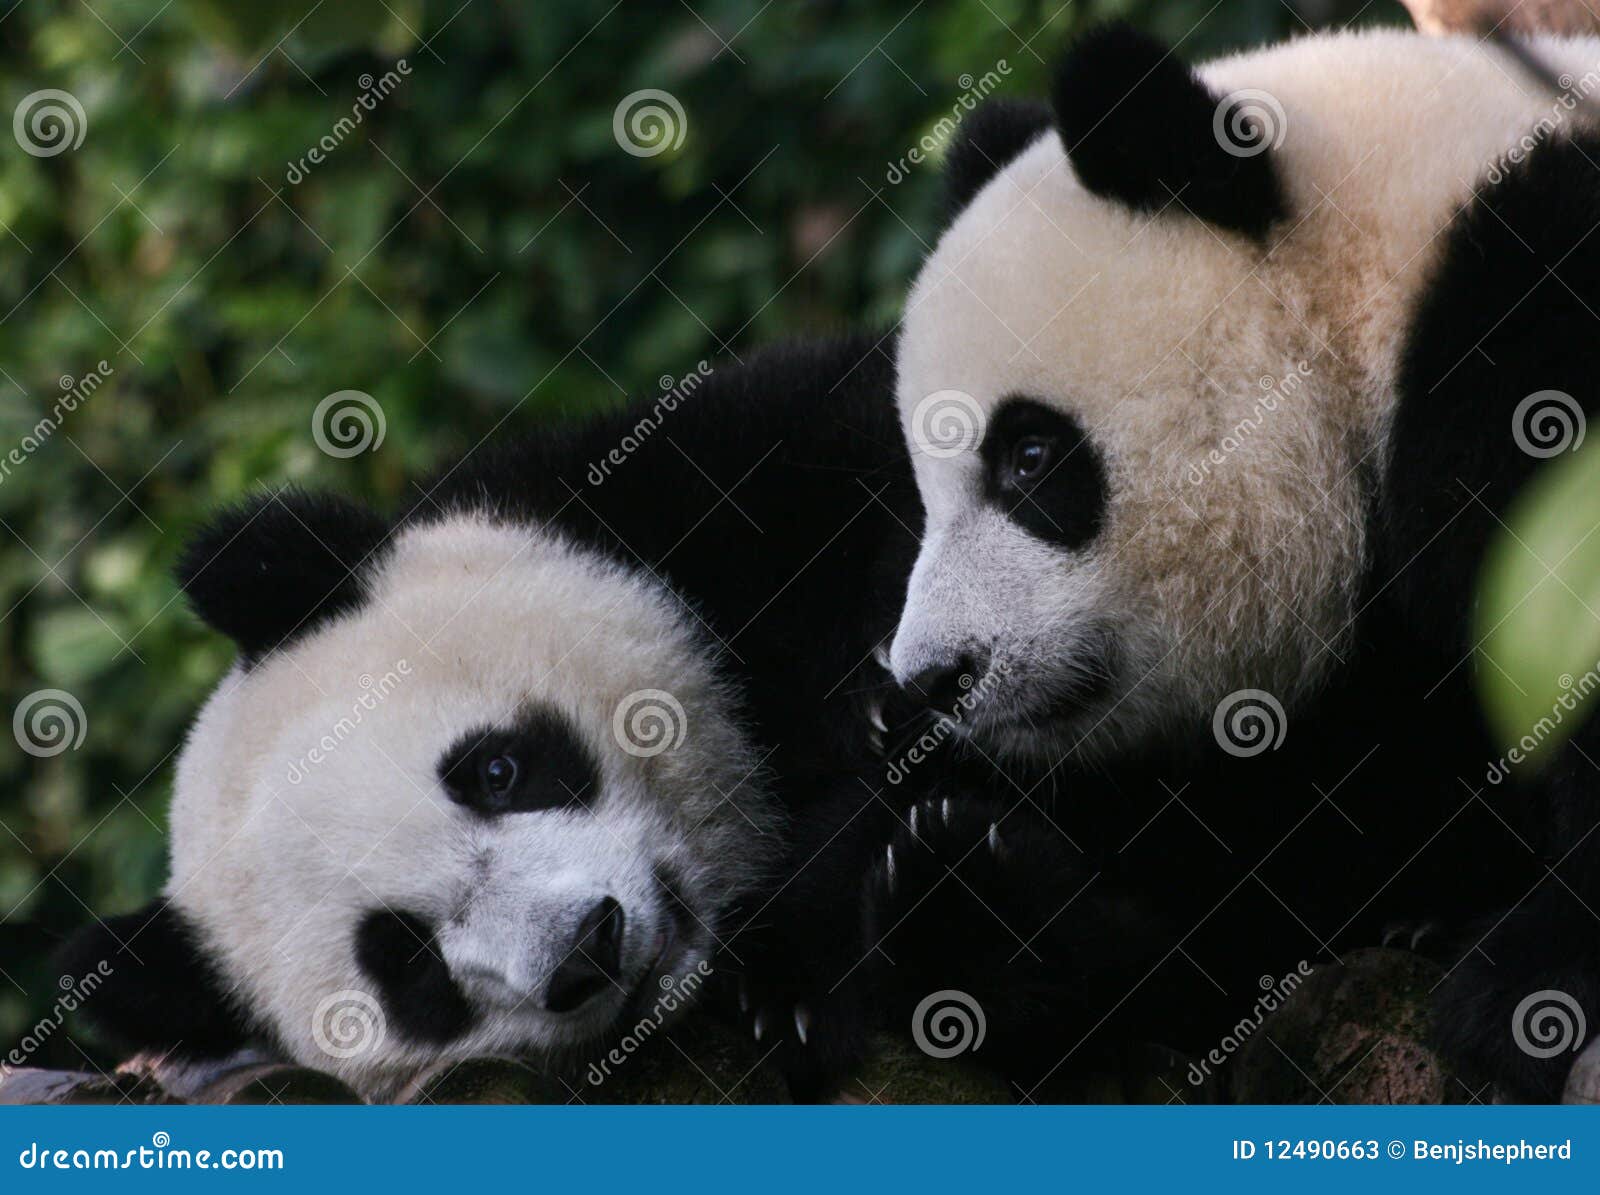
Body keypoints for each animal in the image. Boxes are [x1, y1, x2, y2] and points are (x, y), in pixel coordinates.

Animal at [879, 23, 1600, 1100]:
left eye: (1029, 456)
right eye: (924, 489)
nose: (932, 675)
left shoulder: (1528, 313)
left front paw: (1529, 983)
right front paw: (975, 911)